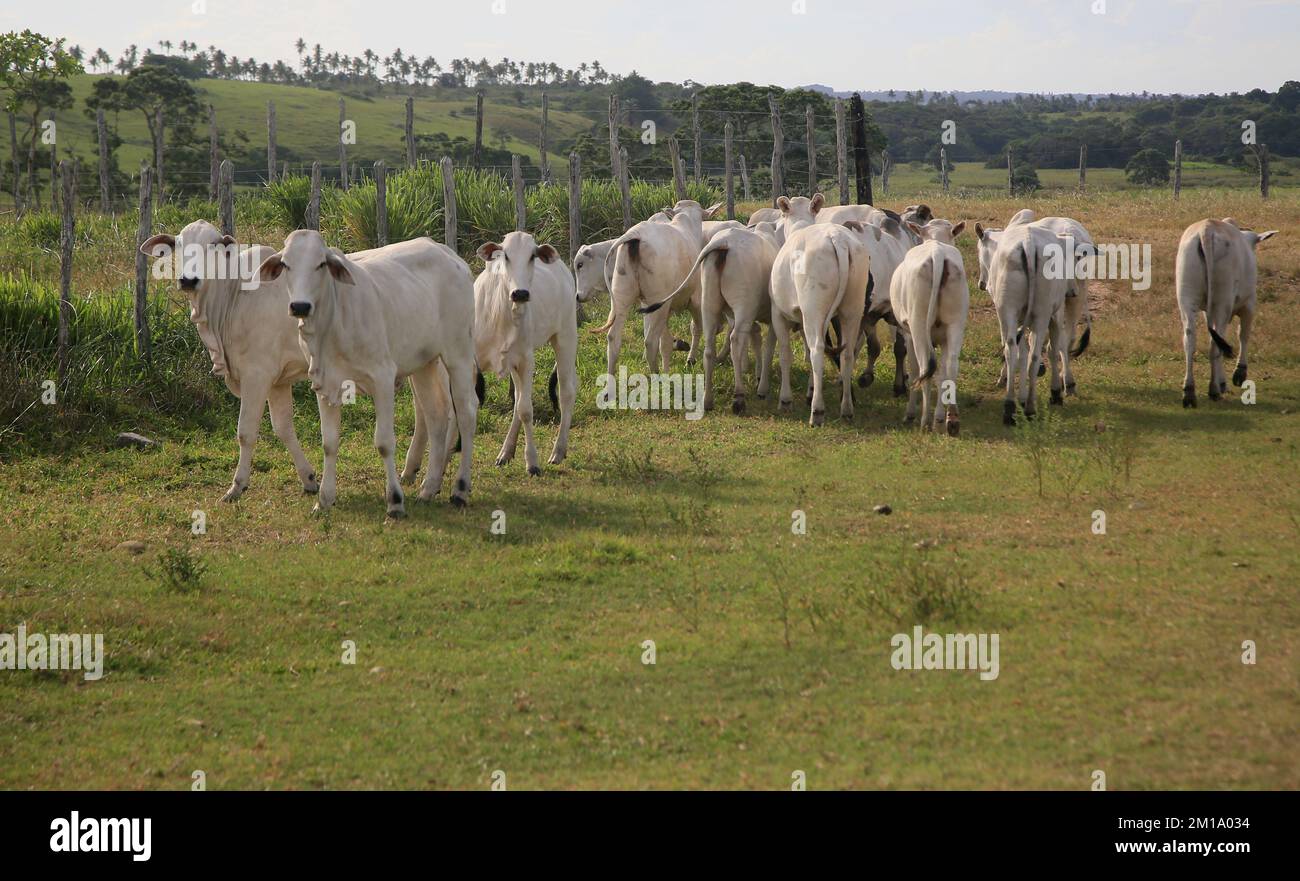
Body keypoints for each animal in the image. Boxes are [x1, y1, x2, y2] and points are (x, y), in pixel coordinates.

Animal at [139, 220, 319, 502]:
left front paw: (237, 486)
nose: (188, 280)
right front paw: (309, 479)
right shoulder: (278, 381)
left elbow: (246, 432)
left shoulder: (257, 376)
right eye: (178, 244)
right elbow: (283, 428)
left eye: (213, 245)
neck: (234, 296)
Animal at [256, 231, 478, 517]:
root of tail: (449, 254)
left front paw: (395, 501)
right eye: (285, 264)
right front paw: (324, 499)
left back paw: (460, 489)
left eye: (321, 264)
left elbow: (384, 442)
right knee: (436, 416)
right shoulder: (324, 384)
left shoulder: (383, 378)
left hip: (458, 354)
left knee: (466, 413)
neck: (333, 322)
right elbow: (329, 443)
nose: (300, 306)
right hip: (424, 364)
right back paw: (429, 488)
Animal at [471, 231, 577, 473]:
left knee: (565, 393)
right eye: (506, 256)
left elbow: (527, 410)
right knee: (519, 399)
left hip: (565, 337)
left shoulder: (527, 361)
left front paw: (532, 462)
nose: (520, 293)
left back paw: (558, 451)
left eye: (532, 256)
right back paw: (506, 452)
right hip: (514, 362)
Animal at [986, 224, 1073, 424]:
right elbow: (1053, 349)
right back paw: (1031, 409)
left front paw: (1021, 397)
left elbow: (1021, 352)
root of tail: (1028, 243)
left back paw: (1009, 407)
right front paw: (1055, 392)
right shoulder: (1056, 315)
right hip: (1042, 313)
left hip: (1008, 309)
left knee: (1011, 350)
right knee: (1035, 355)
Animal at [1175, 218, 1276, 407]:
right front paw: (1239, 372)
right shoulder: (1249, 304)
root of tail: (1207, 229)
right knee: (1216, 344)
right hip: (1223, 302)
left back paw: (1189, 392)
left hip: (1187, 298)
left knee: (1190, 340)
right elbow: (1243, 335)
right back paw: (1213, 390)